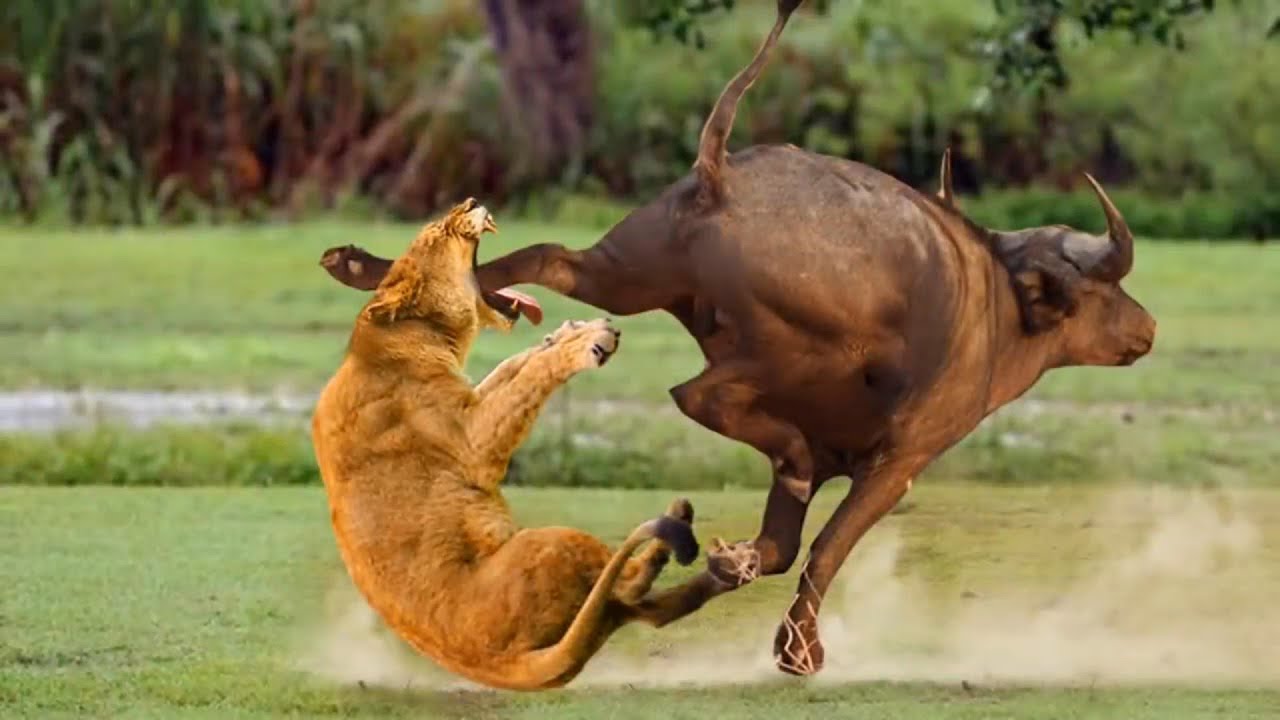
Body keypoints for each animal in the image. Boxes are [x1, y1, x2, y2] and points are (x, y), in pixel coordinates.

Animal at [310, 198, 705, 691]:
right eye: (438, 230)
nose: (470, 202)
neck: (412, 334)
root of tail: (498, 665)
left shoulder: (475, 400)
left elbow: (514, 368)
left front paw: (567, 332)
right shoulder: (472, 440)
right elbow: (530, 376)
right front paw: (585, 342)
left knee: (641, 608)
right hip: (550, 543)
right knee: (627, 586)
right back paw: (678, 528)